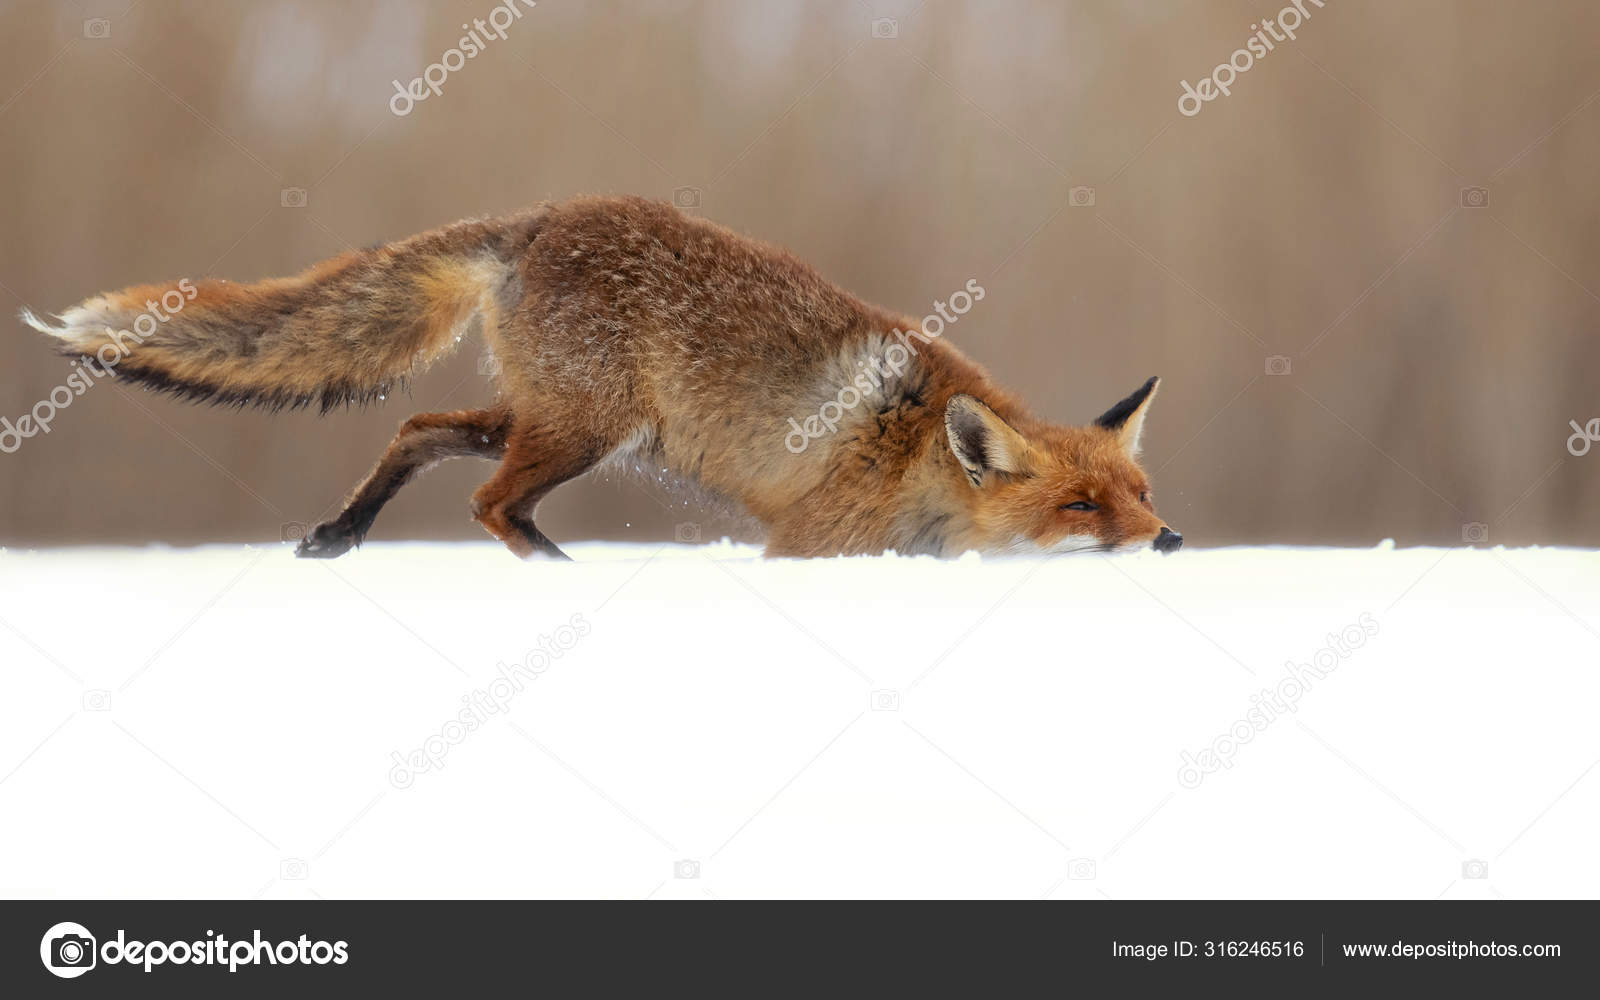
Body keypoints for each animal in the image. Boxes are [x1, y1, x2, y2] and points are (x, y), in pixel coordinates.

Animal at [21, 195, 1182, 560]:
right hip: (582, 430)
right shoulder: (812, 546)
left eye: (1140, 493)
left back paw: (339, 534)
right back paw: (559, 572)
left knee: (421, 430)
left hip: (555, 420)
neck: (914, 463)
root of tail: (535, 219)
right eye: (1082, 506)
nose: (1171, 541)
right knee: (490, 504)